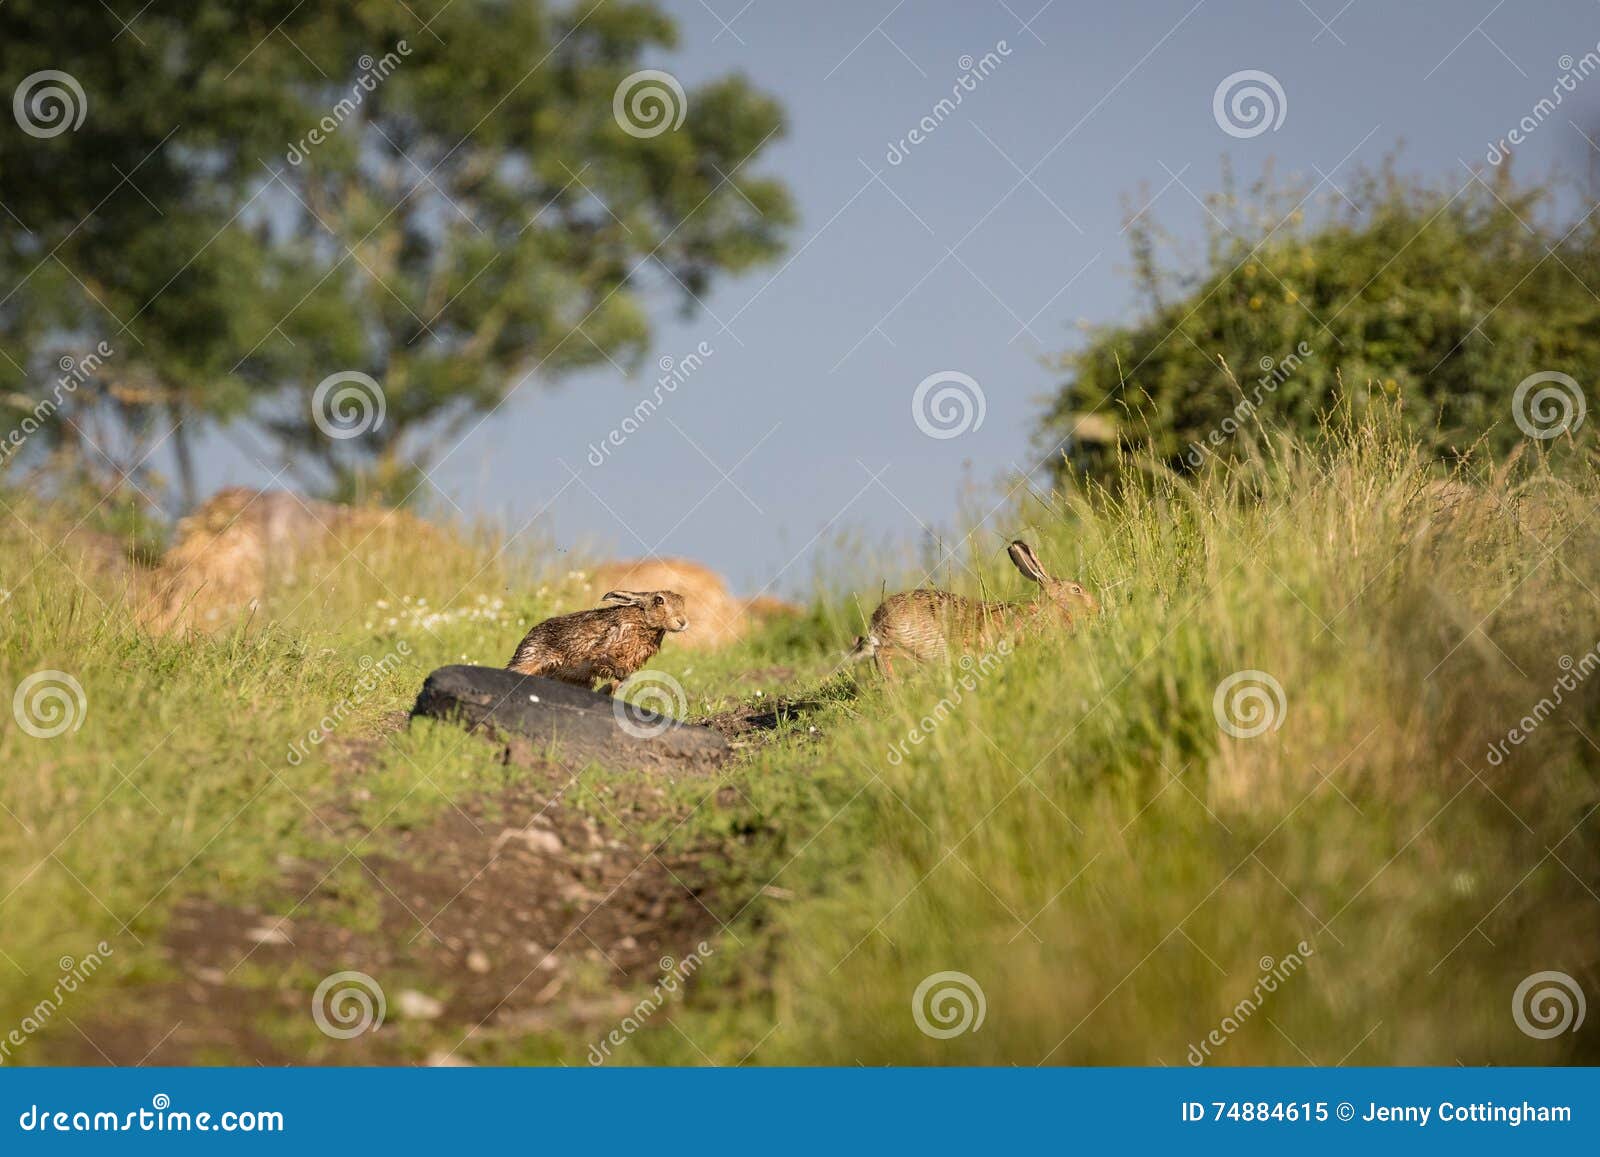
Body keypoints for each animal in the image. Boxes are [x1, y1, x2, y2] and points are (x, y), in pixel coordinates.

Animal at [506, 589, 689, 693]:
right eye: (659, 600)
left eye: (682, 601)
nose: (682, 622)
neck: (644, 622)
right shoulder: (604, 652)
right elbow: (613, 666)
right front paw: (608, 689)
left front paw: (609, 690)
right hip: (530, 658)